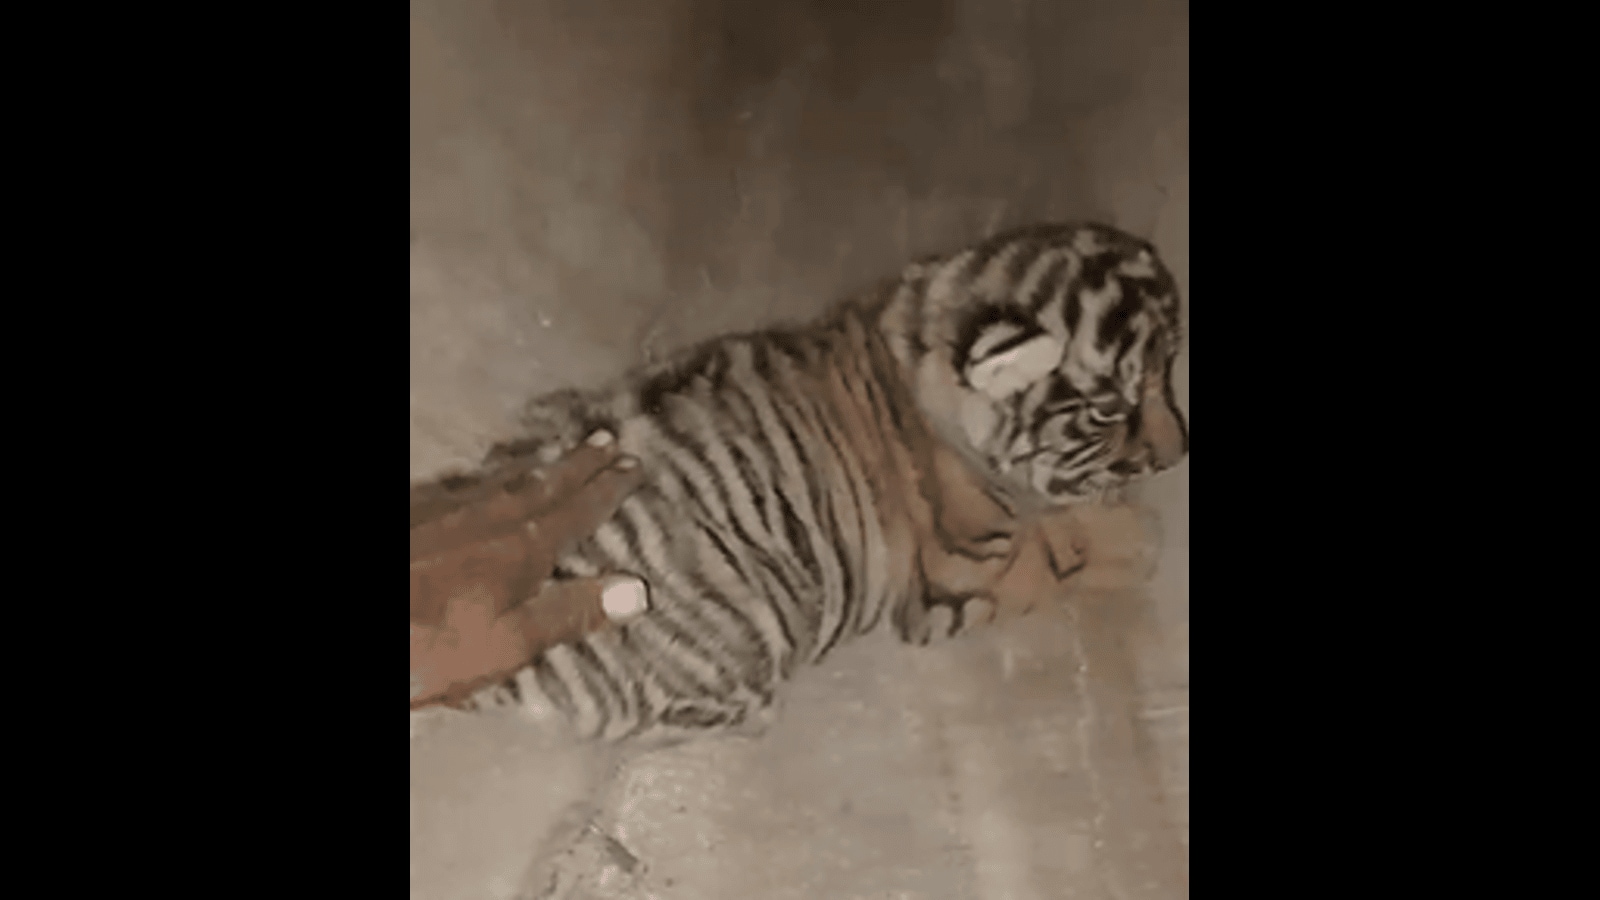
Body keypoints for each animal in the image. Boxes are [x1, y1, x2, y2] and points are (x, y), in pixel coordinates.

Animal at [463, 221, 1188, 747]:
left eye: (1169, 371)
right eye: (1110, 409)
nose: (1179, 451)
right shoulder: (958, 577)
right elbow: (1061, 551)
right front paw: (1139, 535)